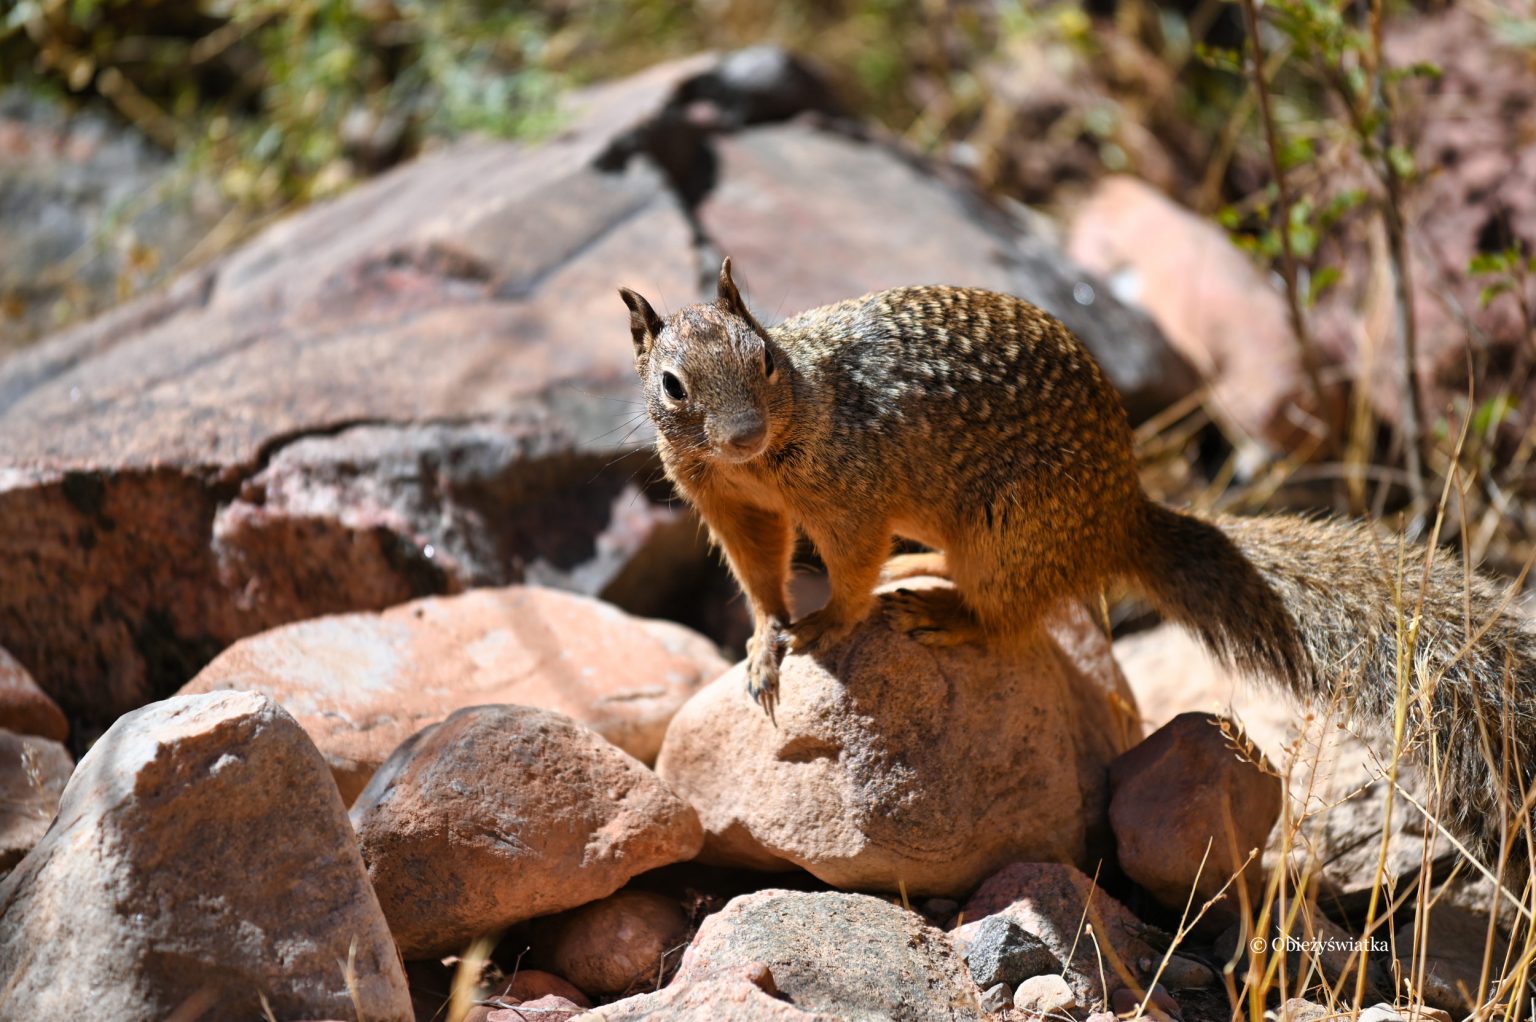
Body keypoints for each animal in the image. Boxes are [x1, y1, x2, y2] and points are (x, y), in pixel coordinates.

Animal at [620, 258, 1536, 869]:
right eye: (672, 385)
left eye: (764, 359)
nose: (743, 433)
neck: (771, 446)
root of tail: (1121, 519)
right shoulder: (728, 504)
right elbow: (757, 570)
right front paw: (765, 639)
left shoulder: (850, 500)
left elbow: (848, 571)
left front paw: (822, 625)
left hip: (1007, 535)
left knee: (1010, 619)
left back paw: (940, 609)